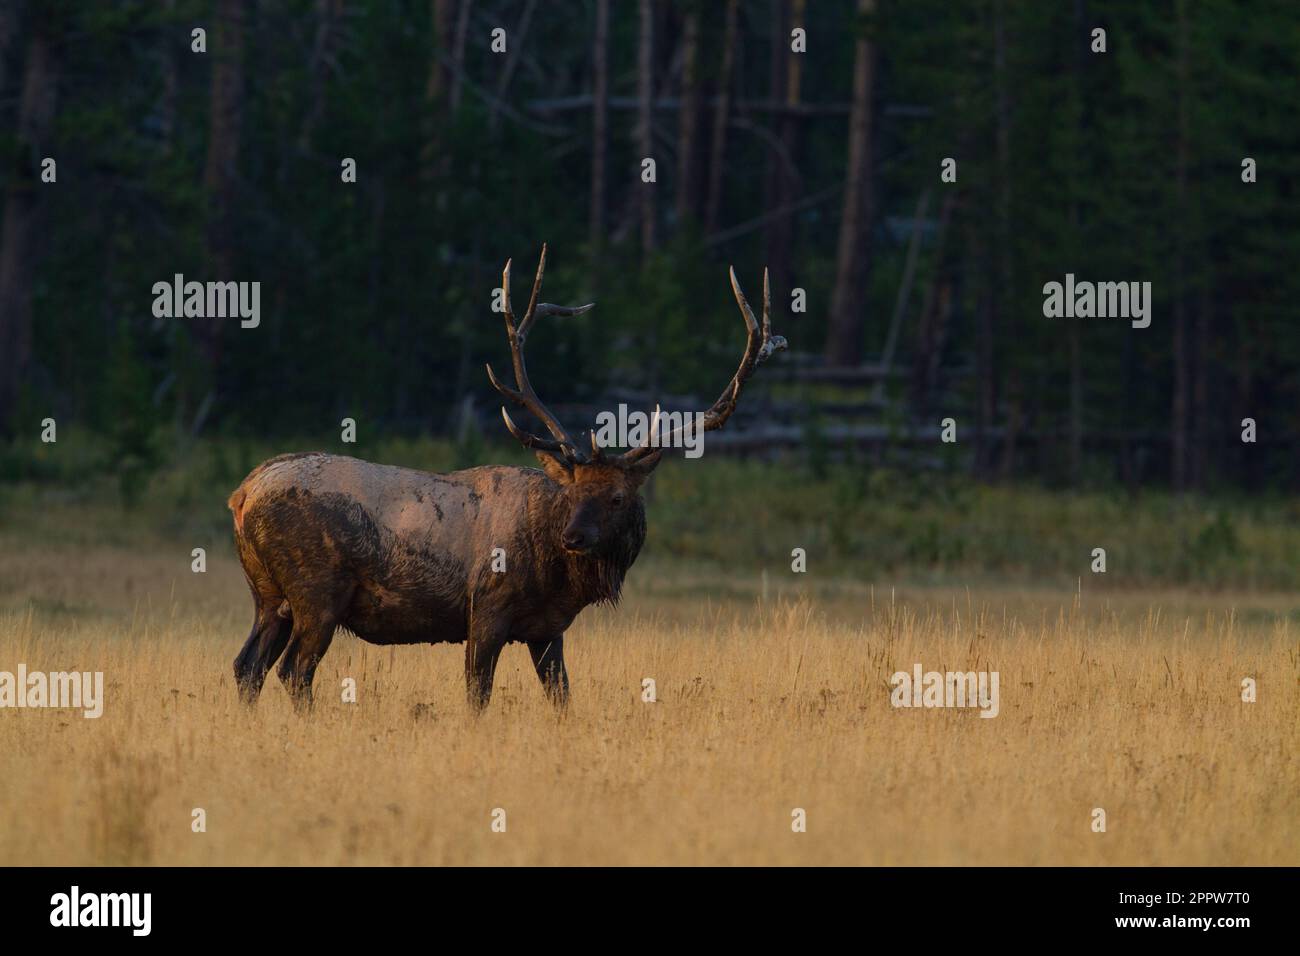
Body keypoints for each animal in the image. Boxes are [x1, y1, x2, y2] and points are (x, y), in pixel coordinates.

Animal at [228, 246, 787, 712]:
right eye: (574, 492)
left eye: (617, 497)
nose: (574, 537)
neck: (558, 576)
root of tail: (242, 494)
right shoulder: (487, 609)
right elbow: (478, 695)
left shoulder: (547, 630)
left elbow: (562, 697)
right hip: (317, 589)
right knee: (294, 671)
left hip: (268, 595)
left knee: (246, 666)